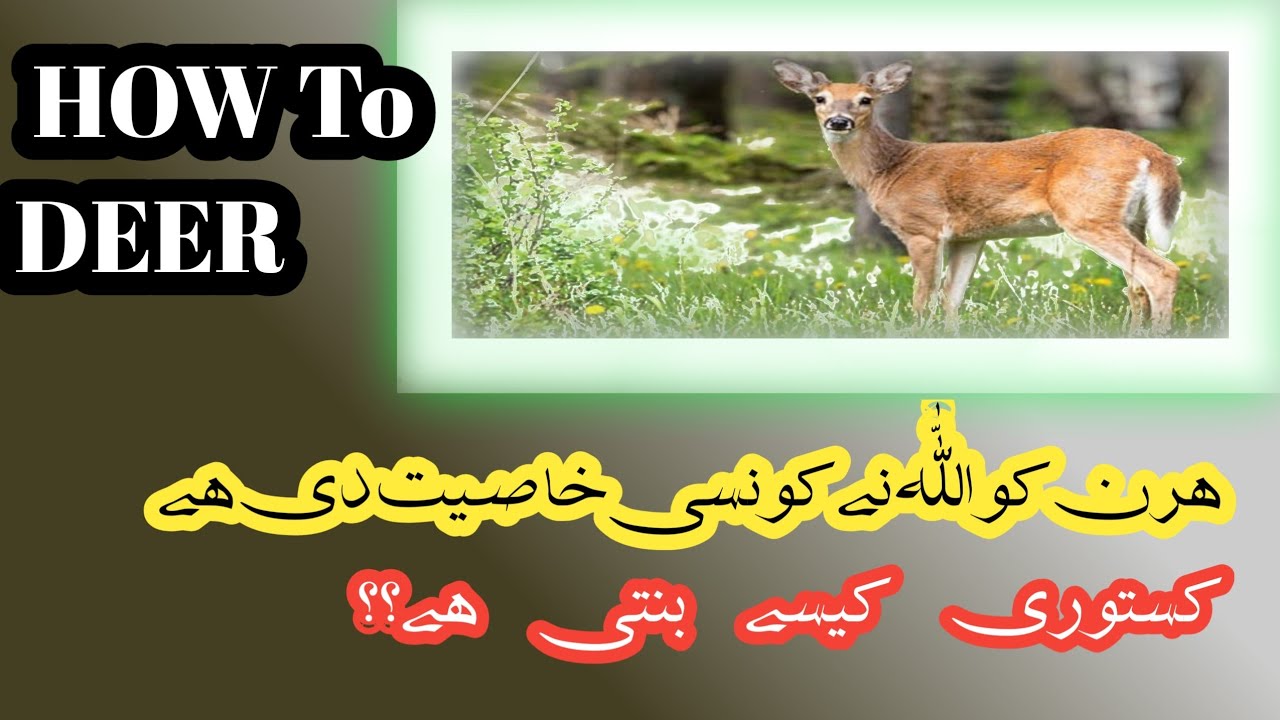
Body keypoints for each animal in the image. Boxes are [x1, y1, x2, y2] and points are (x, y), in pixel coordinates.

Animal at [772, 58, 1184, 334]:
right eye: (819, 98)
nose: (838, 122)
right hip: (1130, 218)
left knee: (1160, 271)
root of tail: (1156, 154)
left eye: (865, 99)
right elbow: (951, 297)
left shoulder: (923, 228)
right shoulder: (970, 236)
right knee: (1136, 284)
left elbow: (923, 296)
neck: (890, 171)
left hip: (1086, 212)